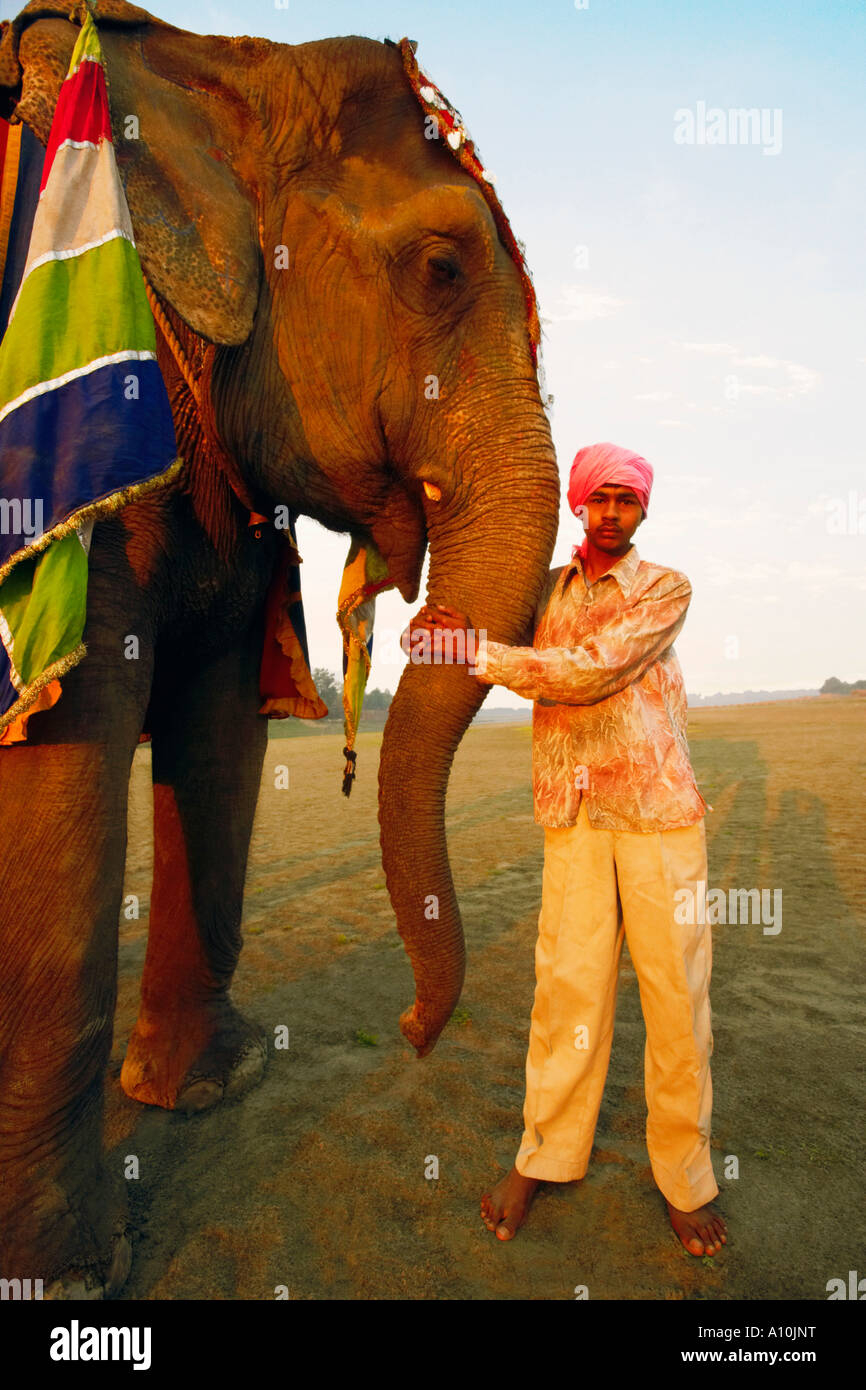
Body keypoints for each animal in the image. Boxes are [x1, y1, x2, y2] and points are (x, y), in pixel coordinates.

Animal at [0, 0, 559, 1295]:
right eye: (441, 269)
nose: (407, 1032)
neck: (220, 58)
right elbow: (68, 754)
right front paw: (65, 1275)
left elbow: (218, 736)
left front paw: (211, 1088)